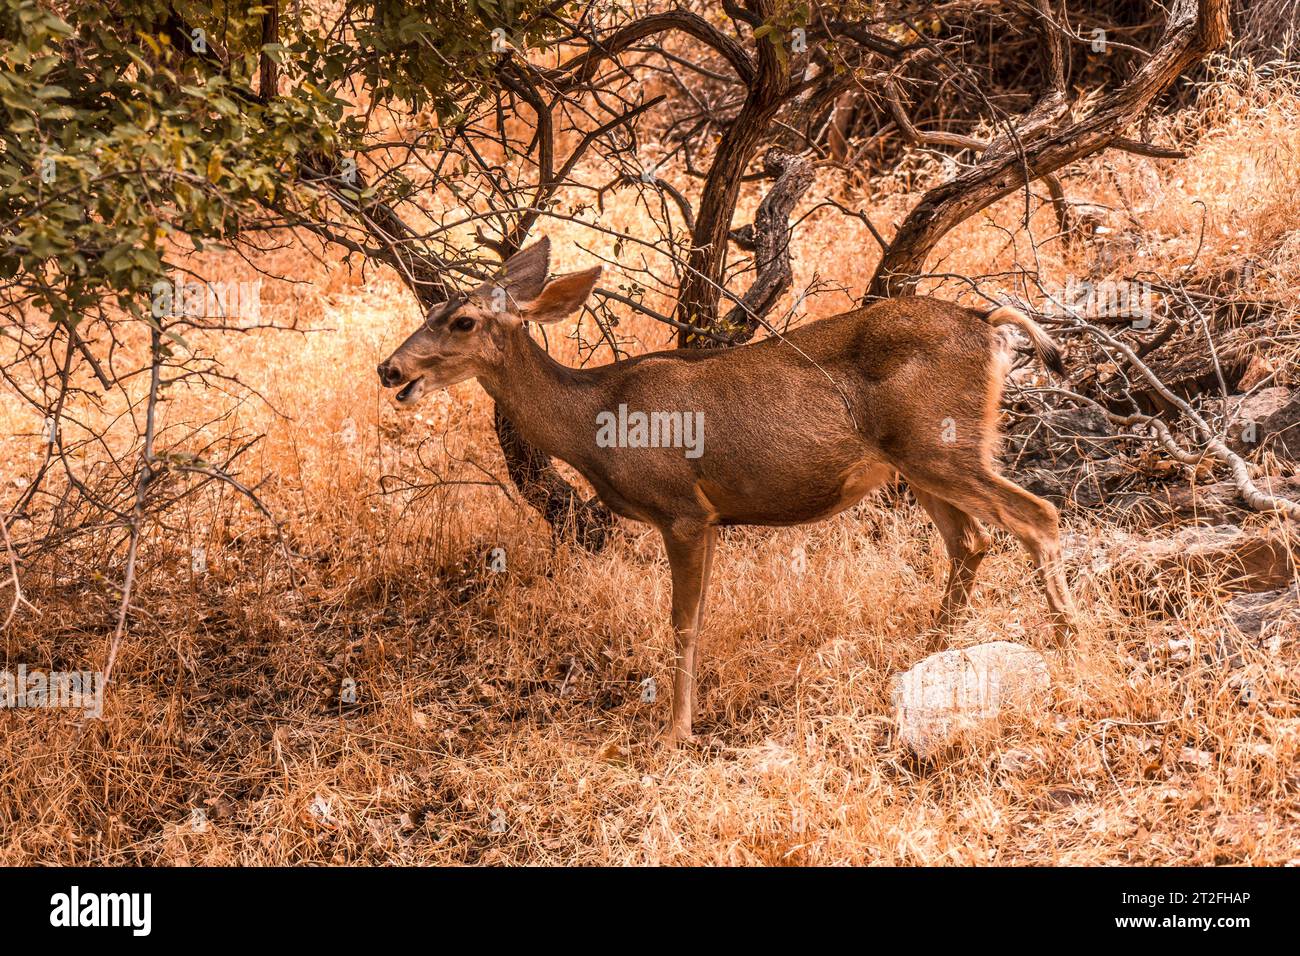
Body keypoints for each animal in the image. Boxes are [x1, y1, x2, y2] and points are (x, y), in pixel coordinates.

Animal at [377, 237, 1076, 746]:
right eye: (429, 312)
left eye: (463, 320)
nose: (390, 369)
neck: (595, 418)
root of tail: (988, 324)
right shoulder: (712, 519)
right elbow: (701, 614)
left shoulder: (682, 509)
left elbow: (682, 622)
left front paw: (674, 734)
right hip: (917, 460)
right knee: (972, 541)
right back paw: (928, 653)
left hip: (940, 445)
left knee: (1038, 515)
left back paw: (1072, 647)